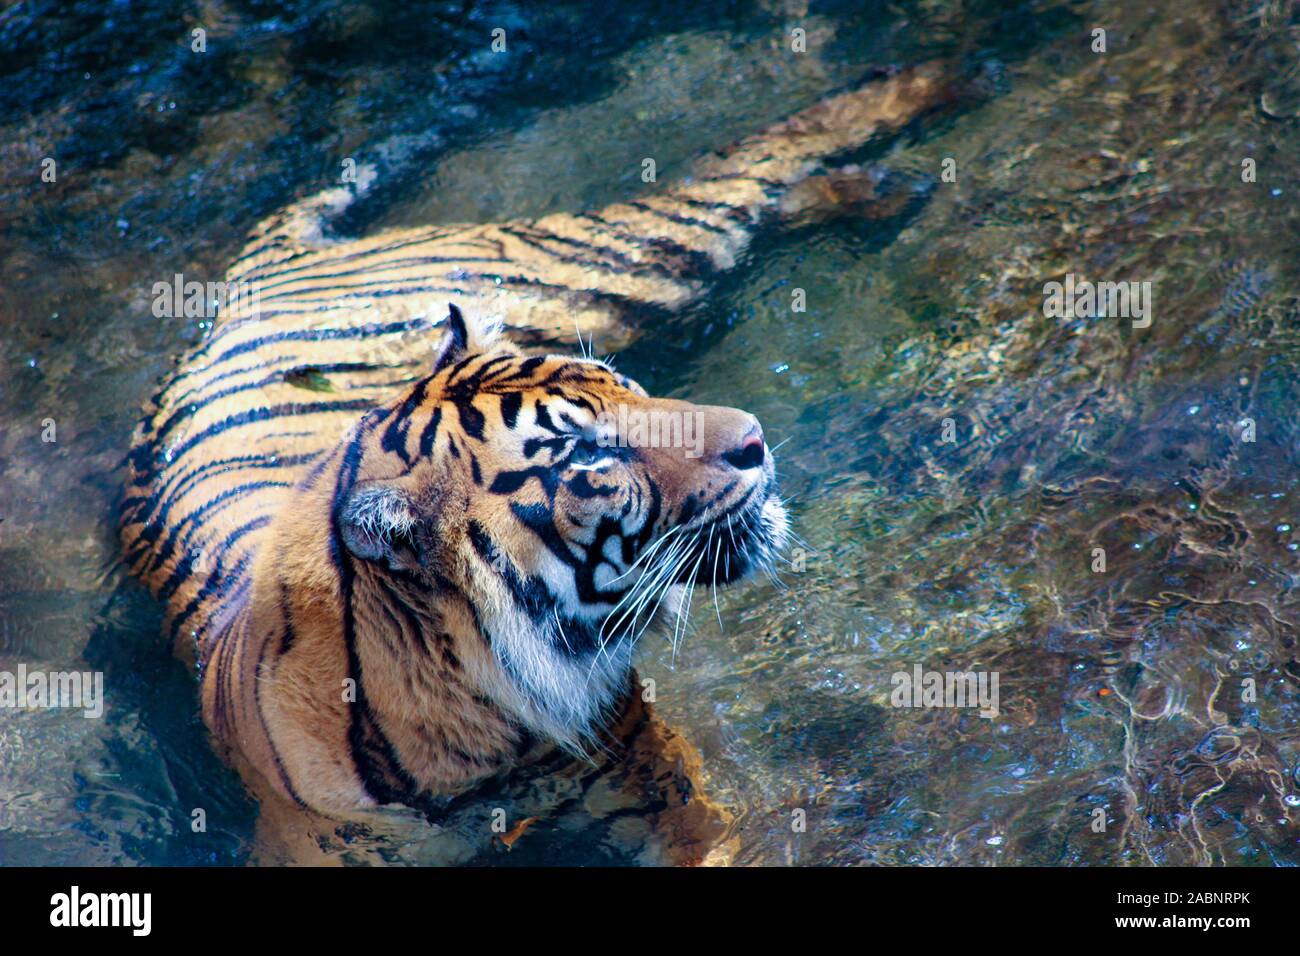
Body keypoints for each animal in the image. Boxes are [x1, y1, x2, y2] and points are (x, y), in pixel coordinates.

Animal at [119, 64, 951, 864]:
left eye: (627, 387)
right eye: (588, 451)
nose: (755, 439)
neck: (485, 729)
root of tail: (245, 281)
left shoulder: (636, 764)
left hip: (598, 272)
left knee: (735, 177)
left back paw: (932, 91)